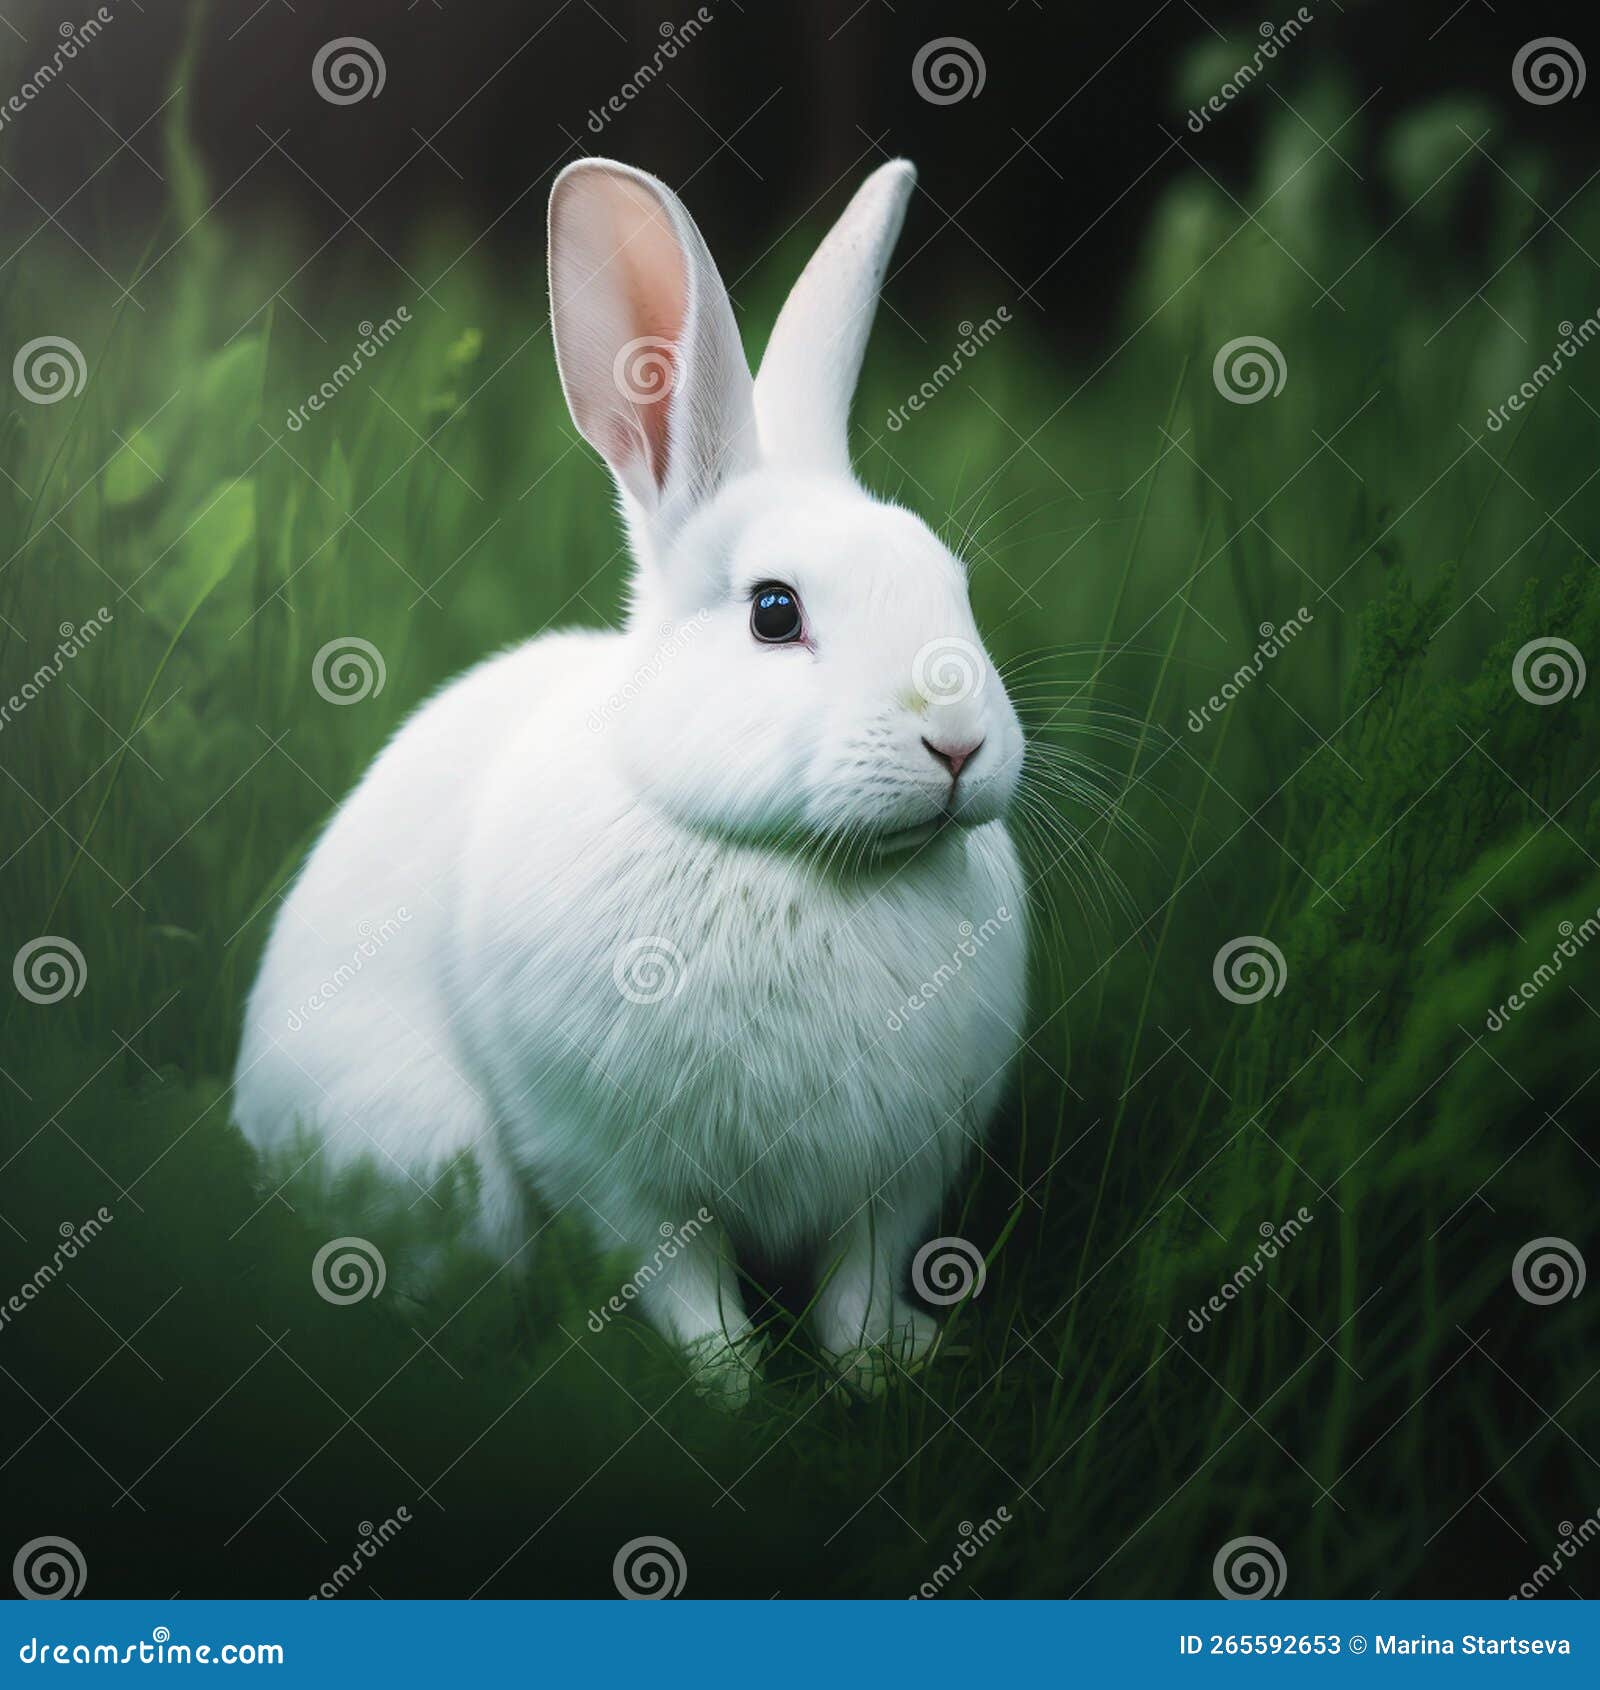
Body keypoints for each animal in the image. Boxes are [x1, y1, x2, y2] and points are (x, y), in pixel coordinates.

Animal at [233, 156, 1027, 1406]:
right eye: (773, 612)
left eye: (951, 581)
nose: (956, 744)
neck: (805, 864)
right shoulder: (616, 1170)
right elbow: (682, 1282)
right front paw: (731, 1393)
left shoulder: (894, 1177)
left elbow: (857, 1284)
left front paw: (886, 1366)